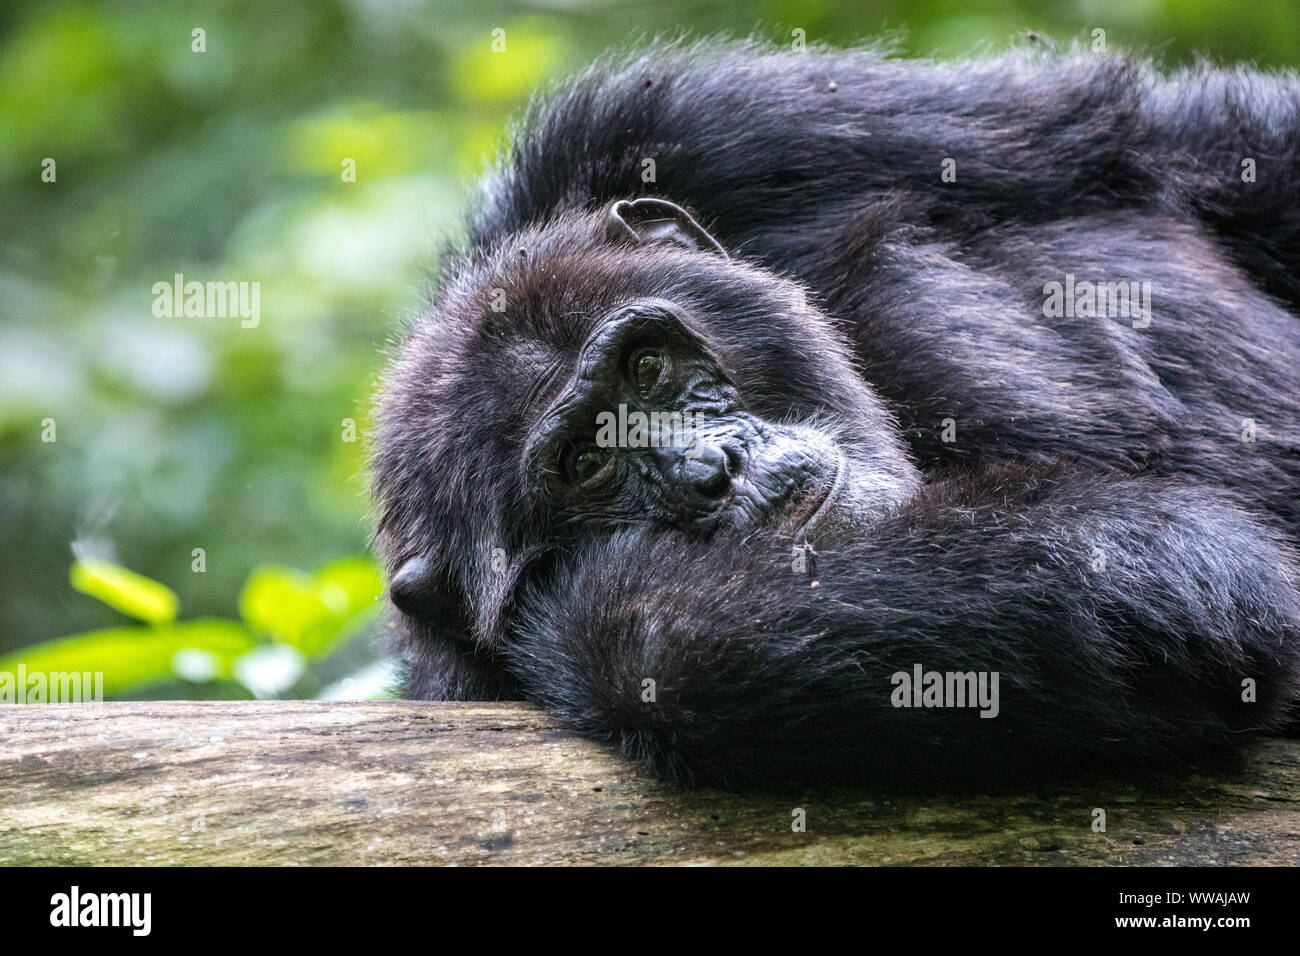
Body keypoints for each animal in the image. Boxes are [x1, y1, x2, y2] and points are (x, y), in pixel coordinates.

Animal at [369, 39, 1300, 785]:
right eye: (587, 464)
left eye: (647, 367)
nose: (714, 469)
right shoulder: (611, 648)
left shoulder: (715, 127)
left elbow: (1170, 148)